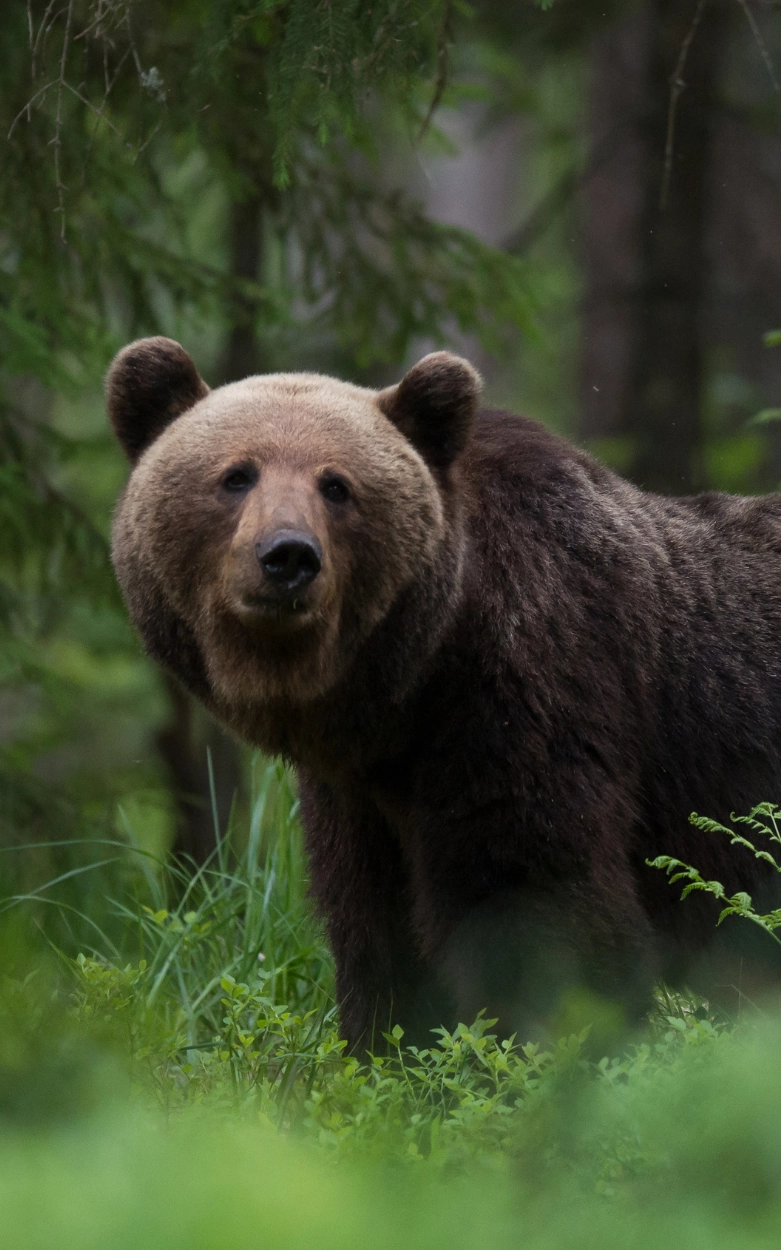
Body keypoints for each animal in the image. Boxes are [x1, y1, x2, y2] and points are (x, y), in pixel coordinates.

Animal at [107, 335, 781, 1052]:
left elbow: (534, 893)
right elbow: (374, 920)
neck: (412, 688)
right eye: (236, 475)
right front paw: (388, 1045)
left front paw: (552, 1045)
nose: (287, 556)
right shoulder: (359, 796)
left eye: (337, 485)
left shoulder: (527, 688)